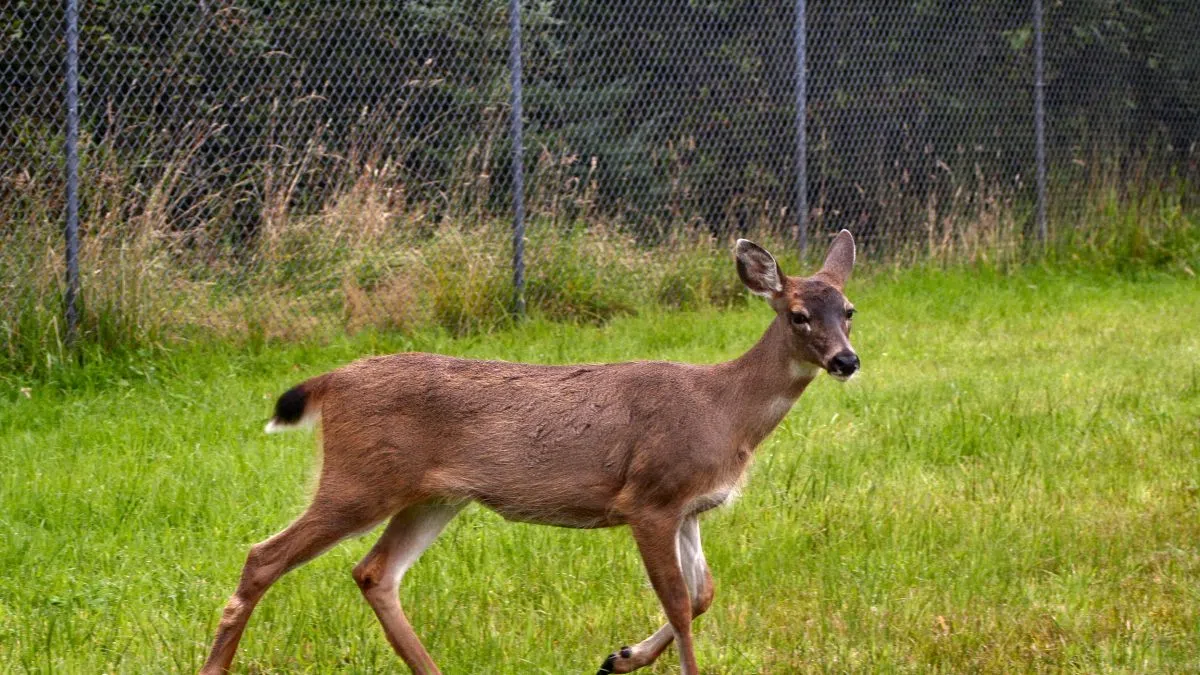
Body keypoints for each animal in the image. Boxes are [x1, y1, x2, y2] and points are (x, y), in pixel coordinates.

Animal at [200, 230, 860, 675]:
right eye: (799, 315)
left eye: (849, 311)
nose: (846, 360)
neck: (721, 410)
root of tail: (331, 380)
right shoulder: (649, 496)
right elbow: (677, 601)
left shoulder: (691, 507)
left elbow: (703, 594)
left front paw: (621, 656)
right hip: (360, 478)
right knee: (263, 556)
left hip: (434, 496)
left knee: (374, 572)